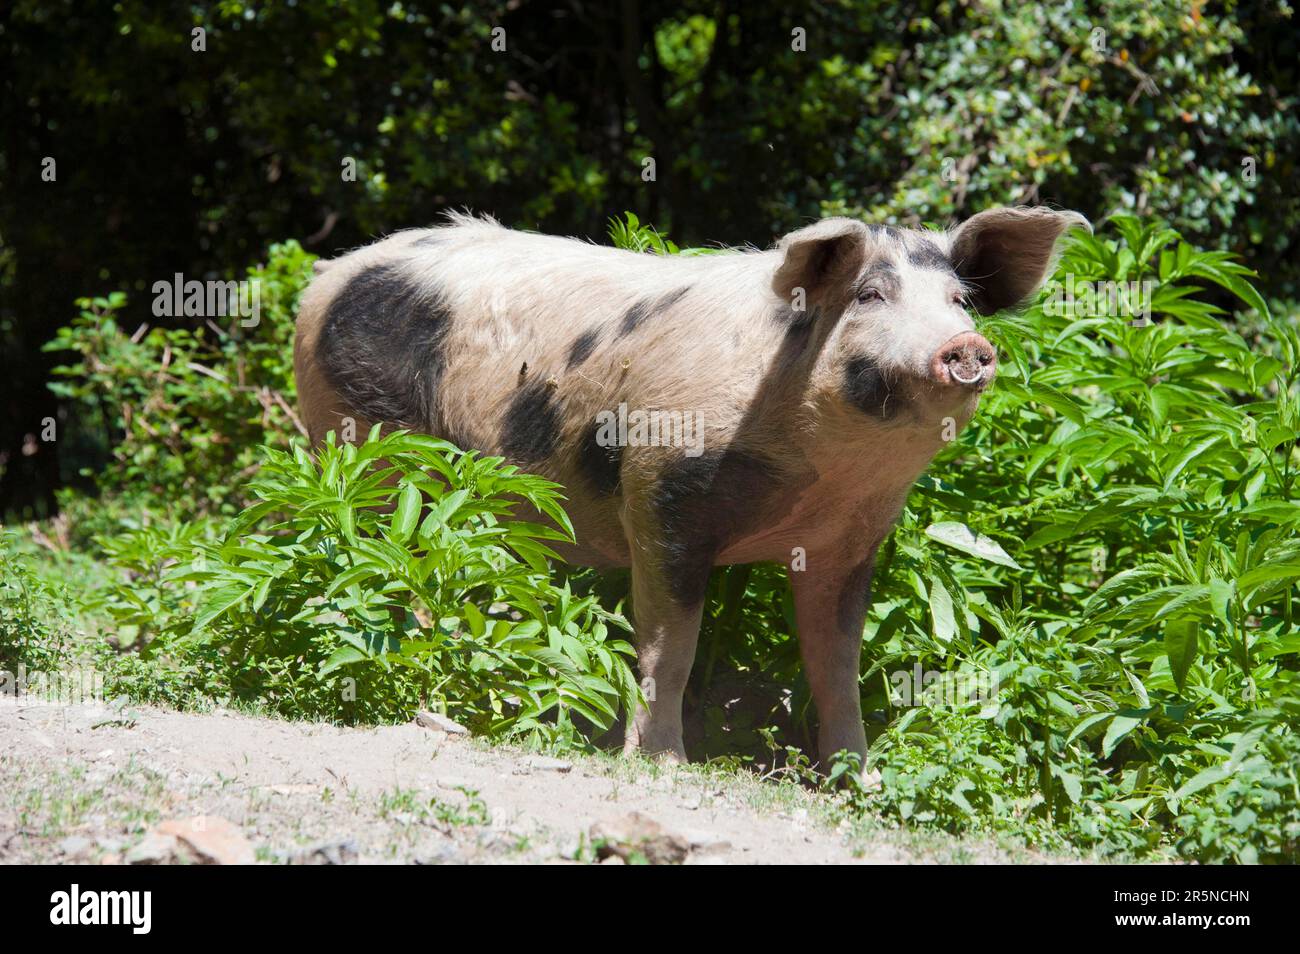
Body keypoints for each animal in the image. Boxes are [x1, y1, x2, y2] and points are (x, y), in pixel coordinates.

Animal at [294, 206, 1086, 768]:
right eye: (869, 295)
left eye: (959, 300)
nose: (967, 346)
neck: (823, 472)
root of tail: (329, 276)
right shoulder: (660, 490)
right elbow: (669, 642)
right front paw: (664, 761)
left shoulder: (854, 536)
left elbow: (837, 660)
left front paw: (858, 777)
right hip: (362, 441)